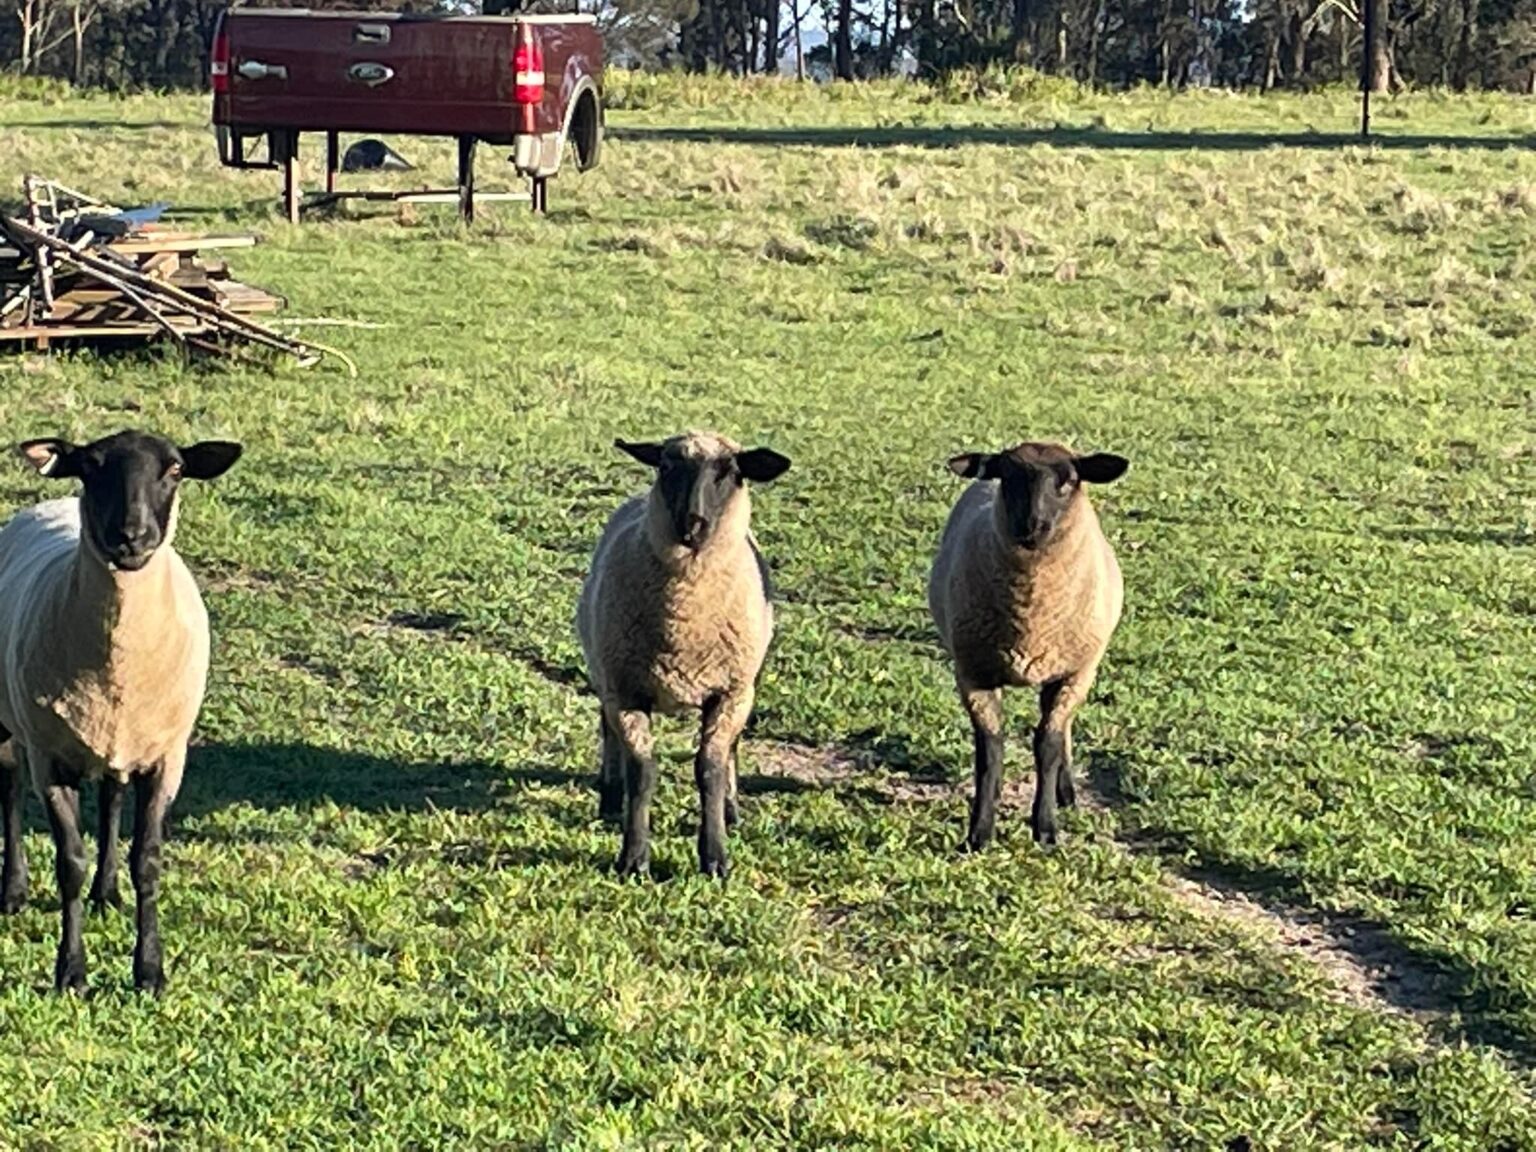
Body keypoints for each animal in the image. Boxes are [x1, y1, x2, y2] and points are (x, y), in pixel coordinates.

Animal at [0, 429, 242, 993]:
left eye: (175, 470)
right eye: (90, 467)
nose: (131, 536)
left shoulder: (166, 757)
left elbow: (146, 861)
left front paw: (150, 971)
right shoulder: (50, 759)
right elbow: (69, 862)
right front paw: (71, 972)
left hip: (119, 738)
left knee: (111, 797)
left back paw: (107, 892)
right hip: (9, 719)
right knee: (9, 791)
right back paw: (14, 891)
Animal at [577, 431, 791, 878]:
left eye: (730, 471)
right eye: (666, 466)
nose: (693, 524)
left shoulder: (730, 693)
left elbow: (709, 768)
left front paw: (715, 856)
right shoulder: (625, 689)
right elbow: (642, 772)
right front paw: (633, 858)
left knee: (731, 749)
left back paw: (731, 810)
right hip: (605, 669)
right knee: (608, 733)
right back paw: (609, 800)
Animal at [928, 441, 1128, 850]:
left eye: (1068, 481)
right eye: (1008, 476)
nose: (1032, 525)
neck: (1030, 622)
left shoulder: (1071, 674)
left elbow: (1047, 746)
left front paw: (1046, 828)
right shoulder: (973, 673)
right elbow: (990, 751)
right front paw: (979, 833)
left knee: (1063, 729)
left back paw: (1065, 792)